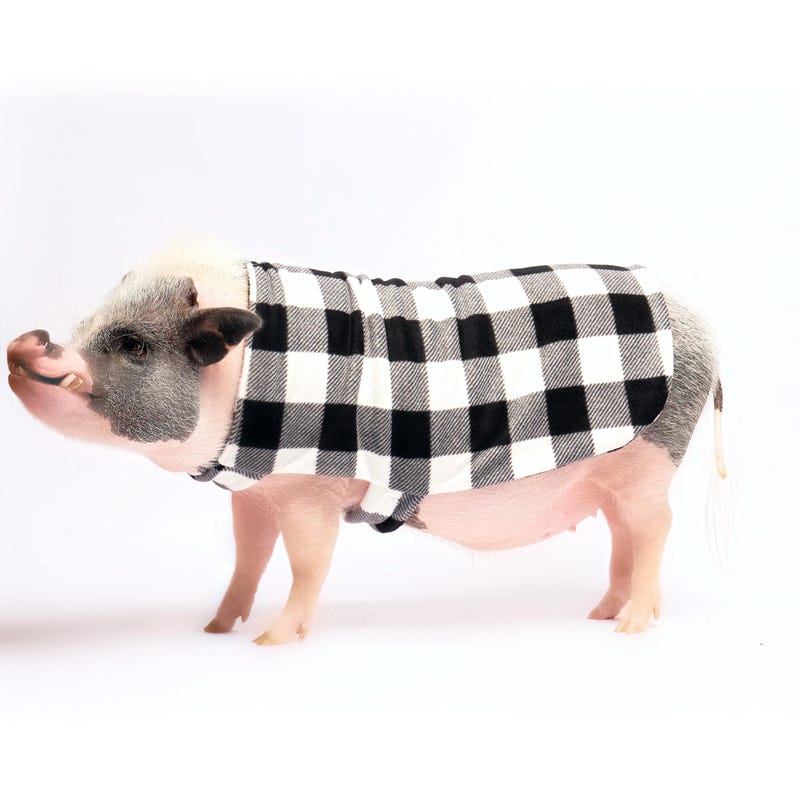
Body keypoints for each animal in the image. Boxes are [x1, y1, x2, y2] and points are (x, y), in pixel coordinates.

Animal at [7, 238, 725, 644]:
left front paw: (272, 642)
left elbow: (307, 562)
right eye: (86, 326)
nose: (28, 344)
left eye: (132, 345)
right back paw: (602, 615)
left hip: (651, 458)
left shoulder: (310, 490)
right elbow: (247, 556)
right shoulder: (254, 492)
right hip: (611, 478)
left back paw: (631, 629)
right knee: (625, 534)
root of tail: (702, 325)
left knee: (657, 527)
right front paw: (214, 629)